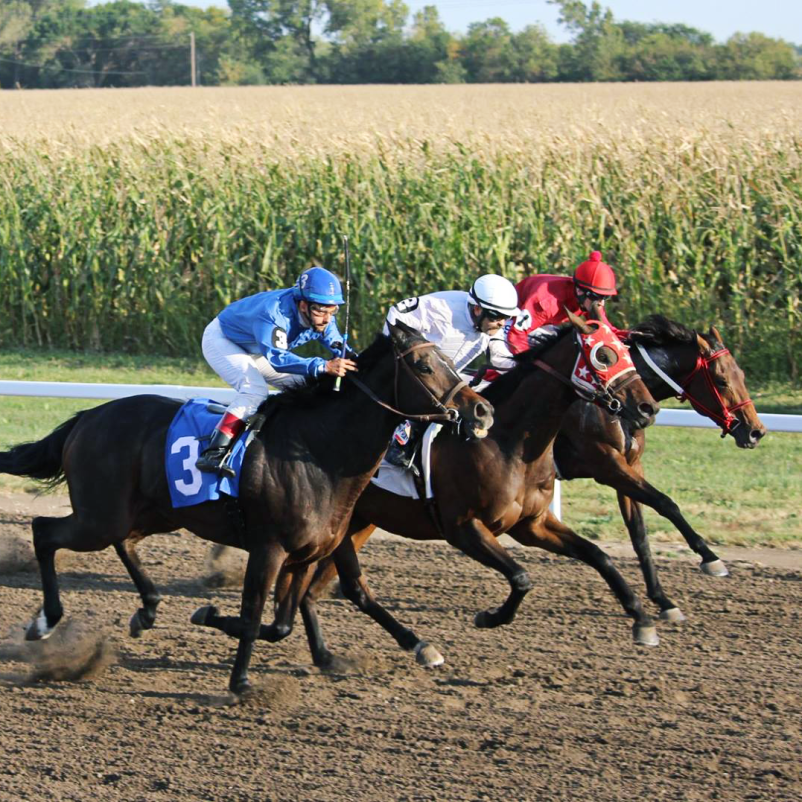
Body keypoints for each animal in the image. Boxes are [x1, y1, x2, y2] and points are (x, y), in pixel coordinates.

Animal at [0, 322, 490, 692]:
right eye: (425, 365)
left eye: (451, 361)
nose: (482, 411)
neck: (319, 452)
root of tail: (88, 417)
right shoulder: (269, 548)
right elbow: (256, 614)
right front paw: (239, 681)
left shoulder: (305, 554)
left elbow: (283, 622)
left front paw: (211, 615)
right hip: (100, 516)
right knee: (45, 530)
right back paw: (45, 622)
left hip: (151, 513)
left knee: (125, 542)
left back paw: (147, 609)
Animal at [272, 304, 660, 664]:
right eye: (604, 355)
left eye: (627, 352)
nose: (648, 408)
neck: (509, 443)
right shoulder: (462, 527)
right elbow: (521, 577)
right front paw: (489, 617)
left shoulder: (532, 524)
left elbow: (599, 556)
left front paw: (642, 619)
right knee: (339, 586)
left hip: (358, 521)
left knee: (318, 589)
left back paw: (327, 651)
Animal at [552, 312, 764, 620]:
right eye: (722, 380)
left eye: (743, 376)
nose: (756, 432)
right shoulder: (607, 466)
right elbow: (666, 503)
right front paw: (710, 558)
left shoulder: (629, 467)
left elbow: (639, 533)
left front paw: (663, 600)